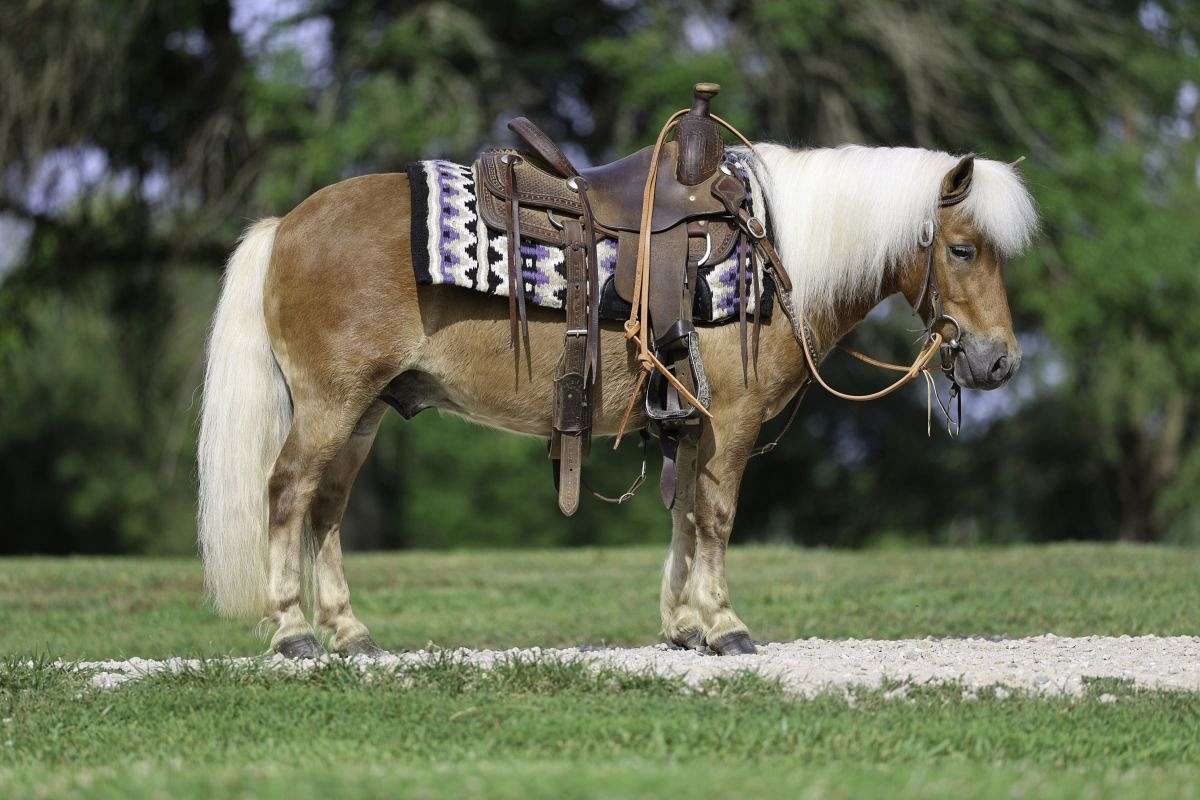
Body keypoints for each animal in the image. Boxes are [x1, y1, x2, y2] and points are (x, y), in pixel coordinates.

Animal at [197, 141, 1037, 658]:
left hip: (365, 412)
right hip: (330, 406)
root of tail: (287, 224)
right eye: (963, 248)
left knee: (327, 511)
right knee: (288, 493)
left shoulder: (692, 425)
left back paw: (350, 632)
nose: (999, 361)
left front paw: (684, 625)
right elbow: (718, 517)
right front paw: (725, 625)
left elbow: (687, 514)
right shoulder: (730, 420)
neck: (773, 255)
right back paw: (292, 633)